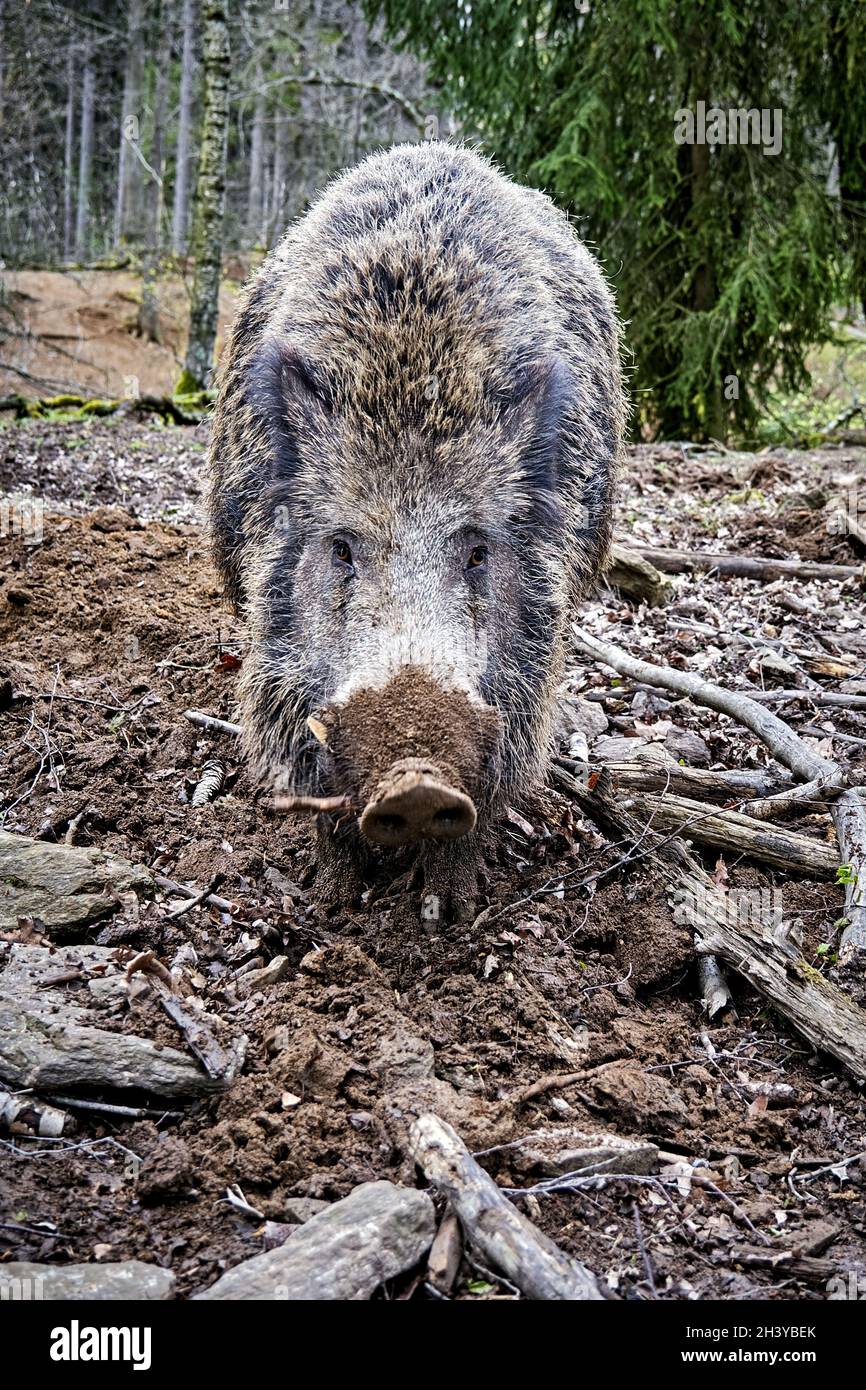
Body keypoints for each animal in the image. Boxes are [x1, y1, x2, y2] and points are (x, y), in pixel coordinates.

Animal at [207, 141, 624, 917]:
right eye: (342, 547)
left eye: (479, 551)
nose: (418, 781)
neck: (412, 384)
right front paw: (333, 902)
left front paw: (452, 911)